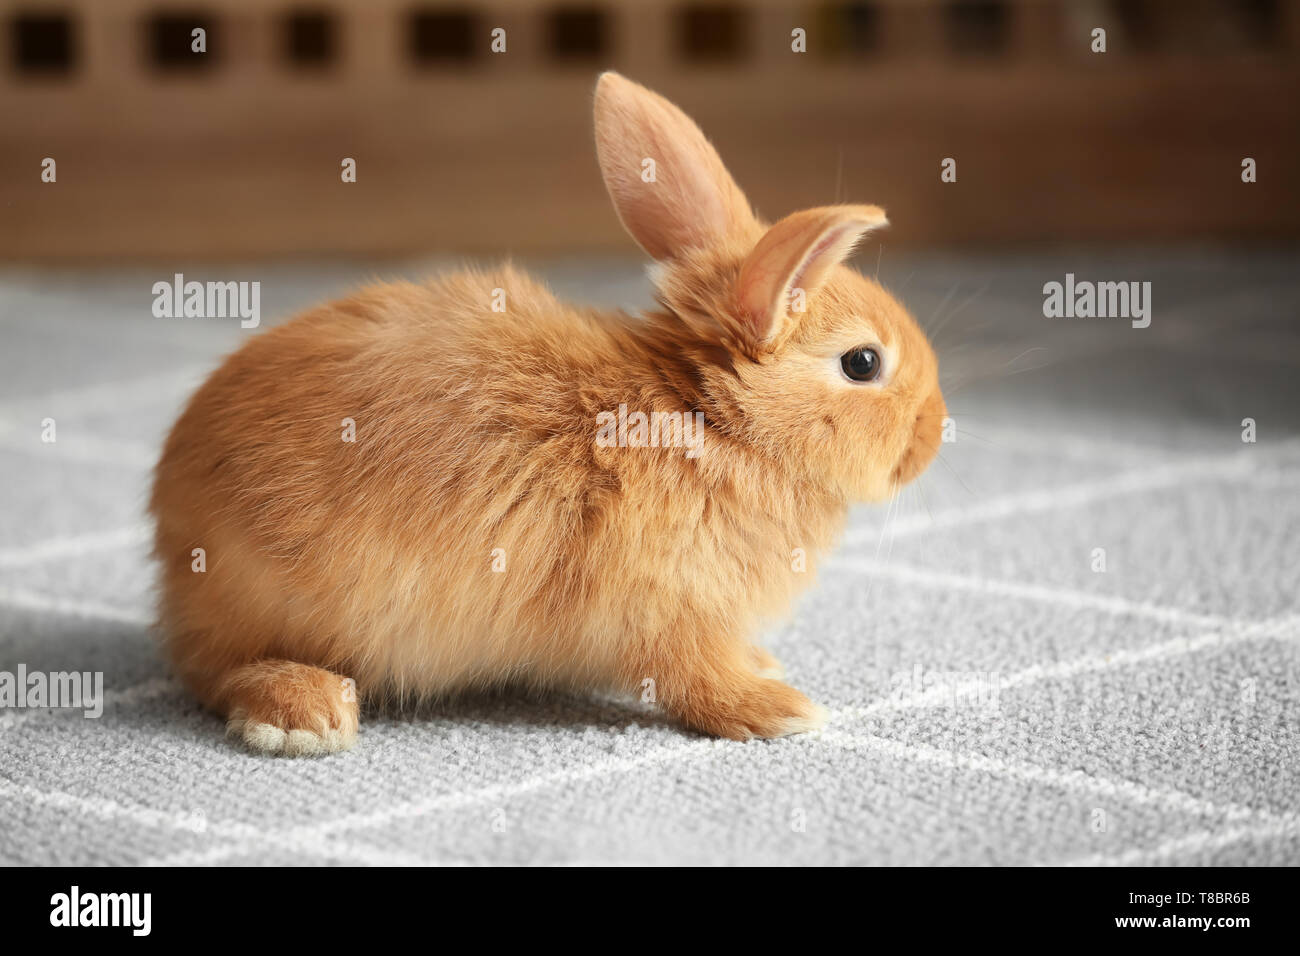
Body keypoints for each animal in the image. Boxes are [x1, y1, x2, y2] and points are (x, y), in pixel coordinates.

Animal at [149, 72, 946, 755]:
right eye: (863, 363)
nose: (936, 435)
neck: (710, 419)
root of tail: (172, 525)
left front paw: (764, 666)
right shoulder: (667, 605)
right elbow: (691, 675)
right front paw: (775, 710)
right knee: (212, 672)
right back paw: (304, 713)